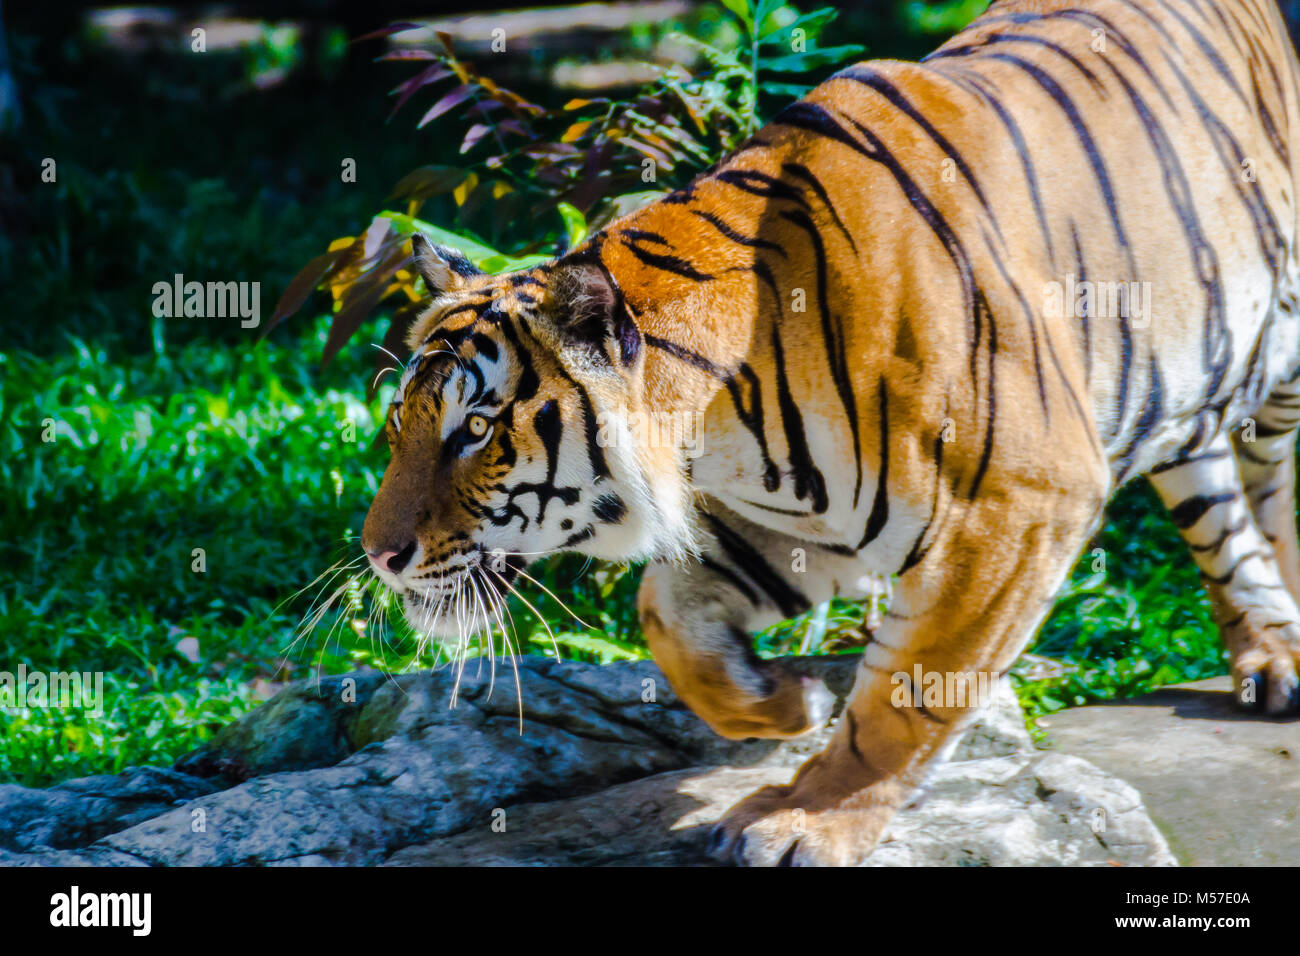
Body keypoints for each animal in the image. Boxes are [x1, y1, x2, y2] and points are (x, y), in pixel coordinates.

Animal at [360, 0, 1300, 865]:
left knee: (1273, 496)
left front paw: (807, 819)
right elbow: (668, 615)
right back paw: (1268, 655)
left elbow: (907, 698)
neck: (721, 428)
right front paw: (785, 699)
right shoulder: (794, 520)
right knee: (1217, 507)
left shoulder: (1017, 510)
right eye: (402, 424)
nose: (379, 555)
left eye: (476, 429)